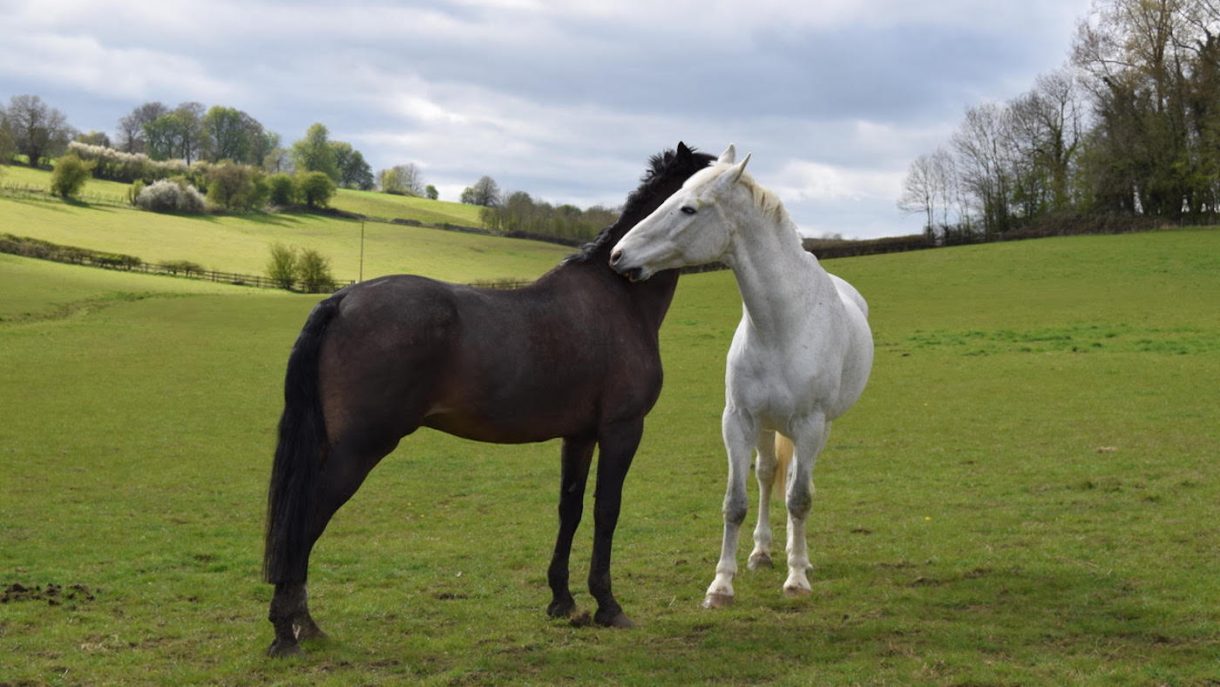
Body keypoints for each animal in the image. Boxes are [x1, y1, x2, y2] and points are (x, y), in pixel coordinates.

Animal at [263, 143, 717, 656]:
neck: (619, 295)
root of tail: (342, 300)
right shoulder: (622, 429)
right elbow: (607, 509)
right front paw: (608, 605)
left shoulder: (578, 435)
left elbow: (571, 509)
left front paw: (562, 600)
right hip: (359, 449)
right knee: (304, 523)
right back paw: (287, 631)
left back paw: (302, 624)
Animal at [608, 145, 874, 608]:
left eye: (689, 208)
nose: (619, 255)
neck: (782, 326)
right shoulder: (737, 420)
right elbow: (735, 501)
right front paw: (721, 585)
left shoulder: (809, 424)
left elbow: (799, 500)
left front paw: (796, 579)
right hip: (767, 426)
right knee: (767, 475)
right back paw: (762, 553)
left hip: (817, 429)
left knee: (796, 483)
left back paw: (800, 561)